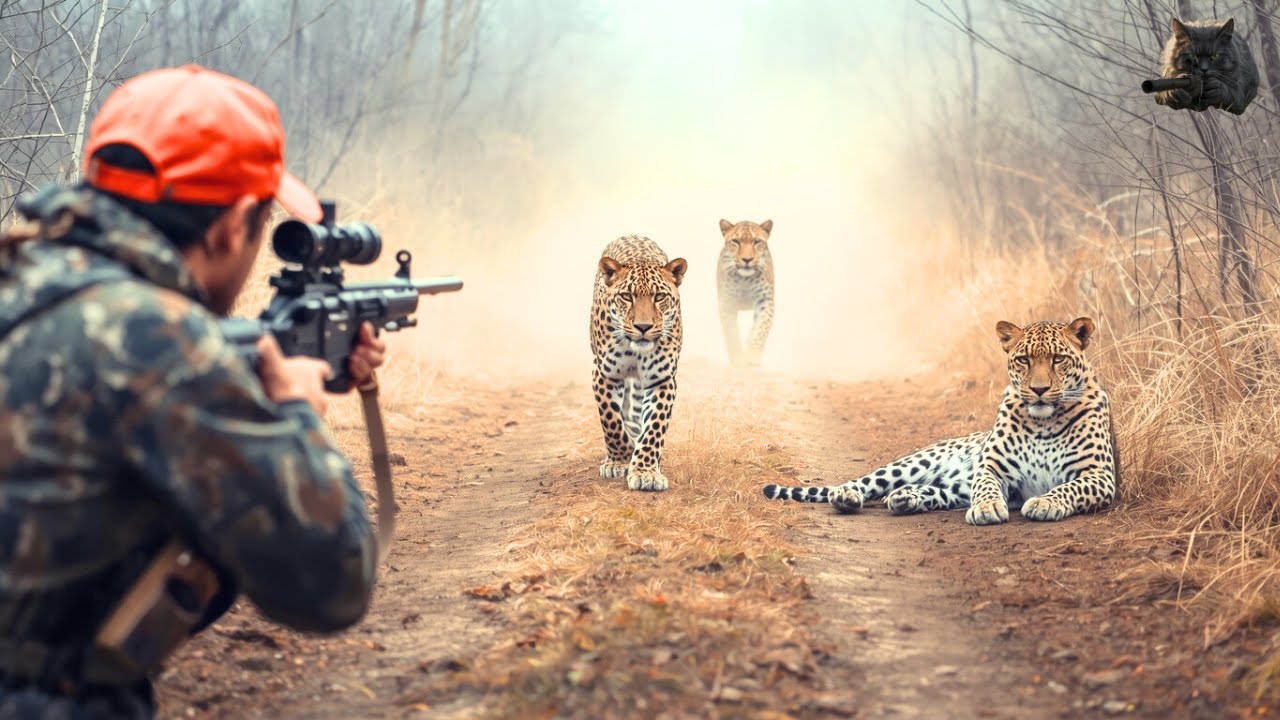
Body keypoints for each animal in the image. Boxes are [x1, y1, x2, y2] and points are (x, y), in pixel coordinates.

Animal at [590, 235, 688, 492]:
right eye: (627, 296)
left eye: (659, 297)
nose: (643, 327)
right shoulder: (605, 374)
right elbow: (611, 421)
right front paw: (620, 460)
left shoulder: (662, 378)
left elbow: (654, 427)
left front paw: (646, 471)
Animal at [717, 218, 775, 367]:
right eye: (736, 241)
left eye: (757, 241)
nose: (747, 259)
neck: (745, 280)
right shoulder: (727, 302)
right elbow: (731, 333)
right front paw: (738, 360)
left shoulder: (765, 301)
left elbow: (760, 331)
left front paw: (751, 358)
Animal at [762, 317, 1118, 526]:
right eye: (1023, 360)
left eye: (1058, 359)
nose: (1039, 390)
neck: (1044, 422)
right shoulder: (992, 468)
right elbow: (986, 488)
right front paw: (987, 509)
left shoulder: (1099, 475)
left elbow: (1069, 487)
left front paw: (1044, 502)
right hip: (911, 463)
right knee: (862, 482)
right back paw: (848, 497)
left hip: (951, 489)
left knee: (926, 492)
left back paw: (905, 499)